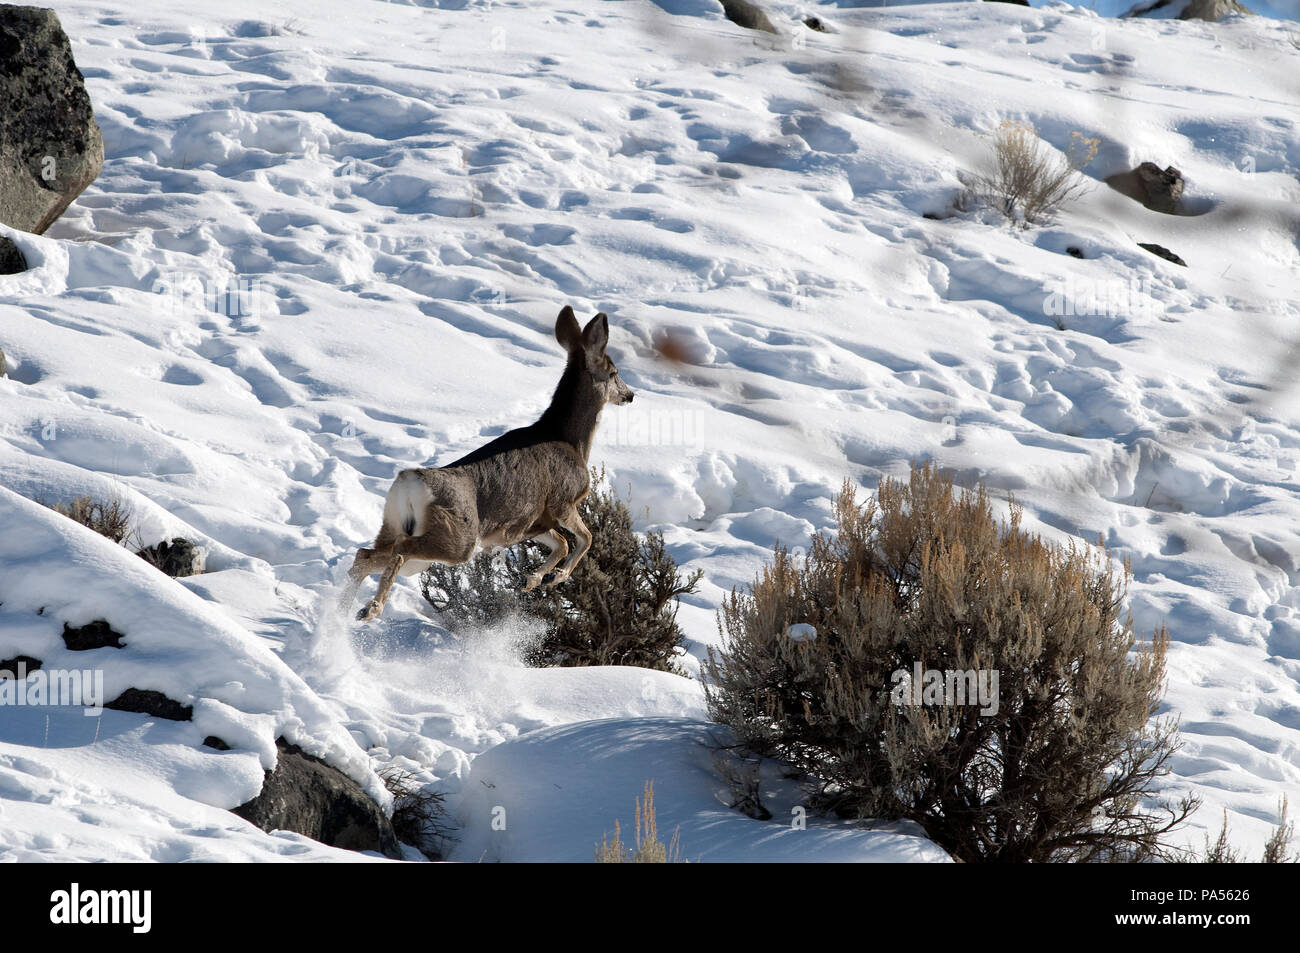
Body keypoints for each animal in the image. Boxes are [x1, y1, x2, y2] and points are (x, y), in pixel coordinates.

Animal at [342, 306, 634, 622]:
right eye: (614, 372)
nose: (630, 395)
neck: (569, 440)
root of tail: (410, 481)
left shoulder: (529, 523)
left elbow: (562, 541)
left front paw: (532, 580)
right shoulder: (562, 501)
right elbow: (586, 537)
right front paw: (554, 576)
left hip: (393, 525)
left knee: (365, 556)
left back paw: (339, 614)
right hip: (457, 538)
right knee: (400, 551)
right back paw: (370, 610)